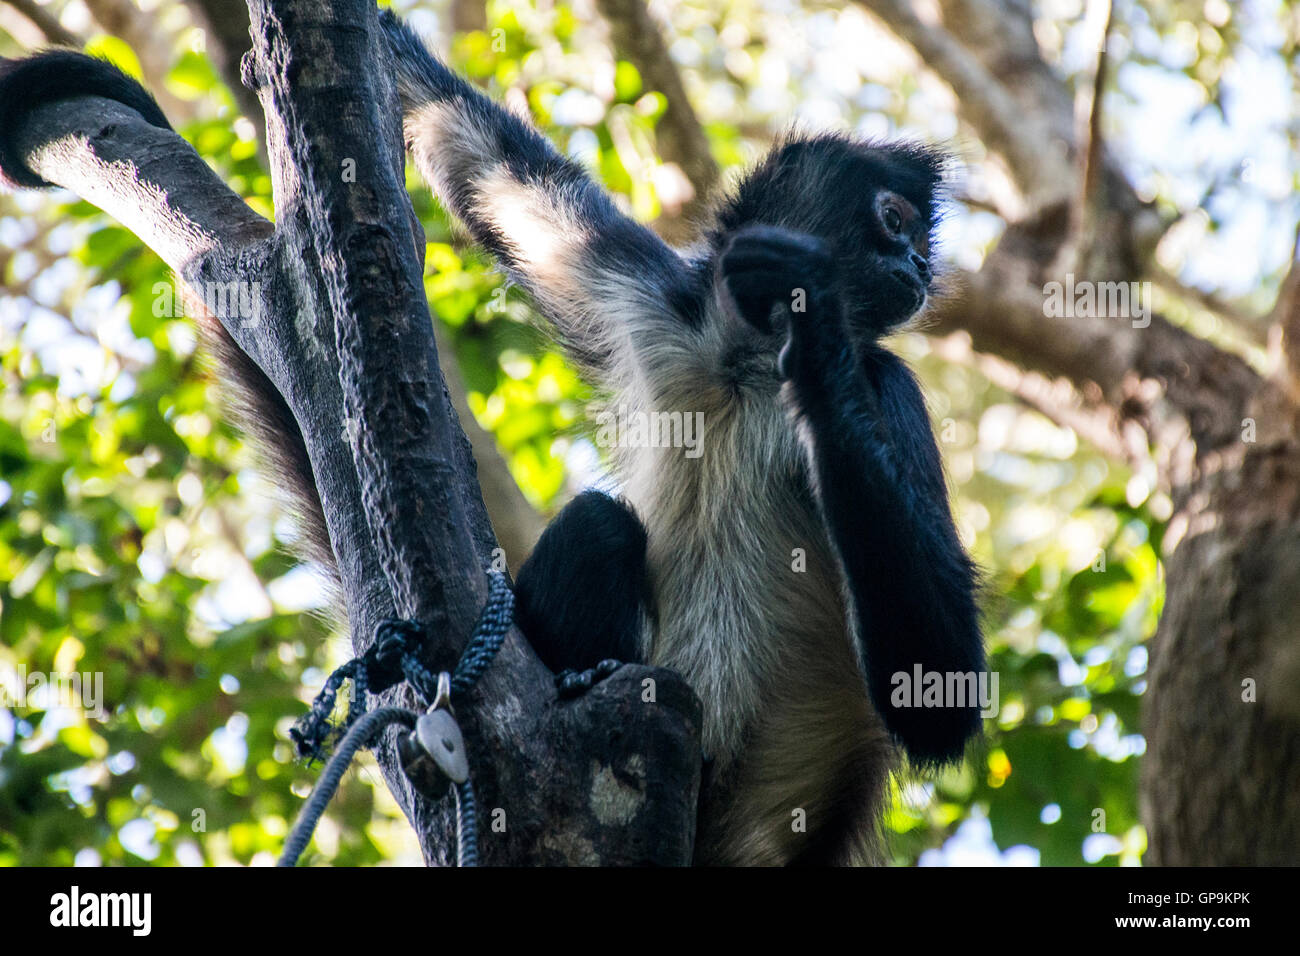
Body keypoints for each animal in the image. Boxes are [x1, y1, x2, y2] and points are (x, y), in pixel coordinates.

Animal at [0, 13, 985, 866]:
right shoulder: (656, 298)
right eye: (896, 223)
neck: (743, 364)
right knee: (600, 523)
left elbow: (938, 692)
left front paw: (815, 332)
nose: (918, 268)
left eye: (916, 243)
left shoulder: (885, 387)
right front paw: (369, 36)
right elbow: (467, 142)